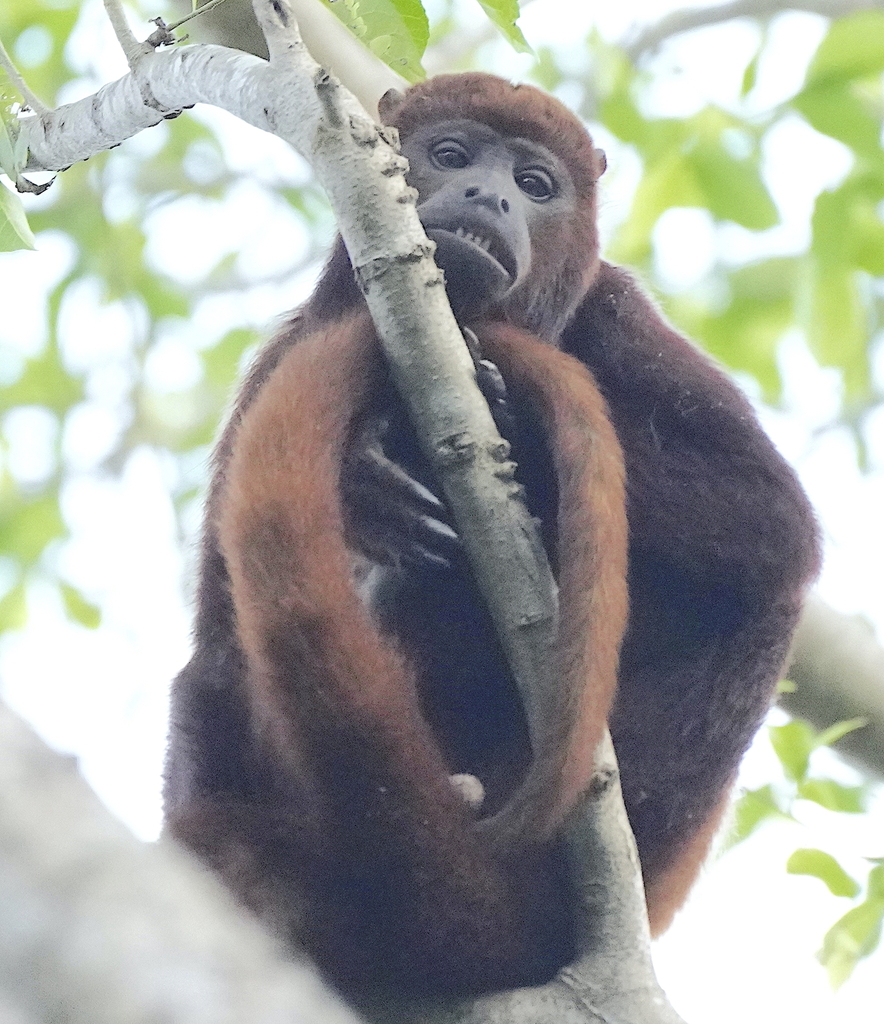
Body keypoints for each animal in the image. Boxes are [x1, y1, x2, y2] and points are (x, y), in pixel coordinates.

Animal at [163, 73, 821, 998]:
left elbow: (773, 521)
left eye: (536, 185)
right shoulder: (287, 350)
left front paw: (497, 425)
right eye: (451, 155)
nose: (489, 194)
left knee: (763, 596)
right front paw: (369, 479)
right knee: (216, 681)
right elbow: (221, 630)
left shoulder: (617, 311)